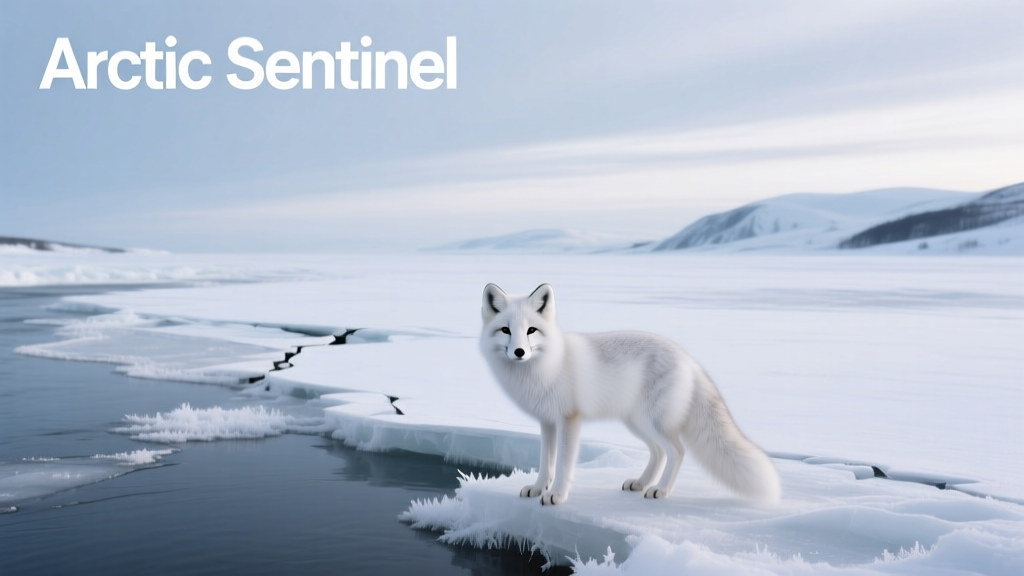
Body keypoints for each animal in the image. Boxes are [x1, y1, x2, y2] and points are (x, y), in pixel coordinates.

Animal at [479, 283, 780, 506]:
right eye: (506, 330)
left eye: (531, 330)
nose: (519, 352)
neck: (545, 366)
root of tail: (688, 358)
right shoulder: (547, 422)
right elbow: (545, 463)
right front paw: (539, 487)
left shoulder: (568, 420)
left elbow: (563, 465)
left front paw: (557, 495)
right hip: (637, 423)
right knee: (658, 453)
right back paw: (641, 483)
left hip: (654, 422)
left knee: (677, 451)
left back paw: (661, 490)